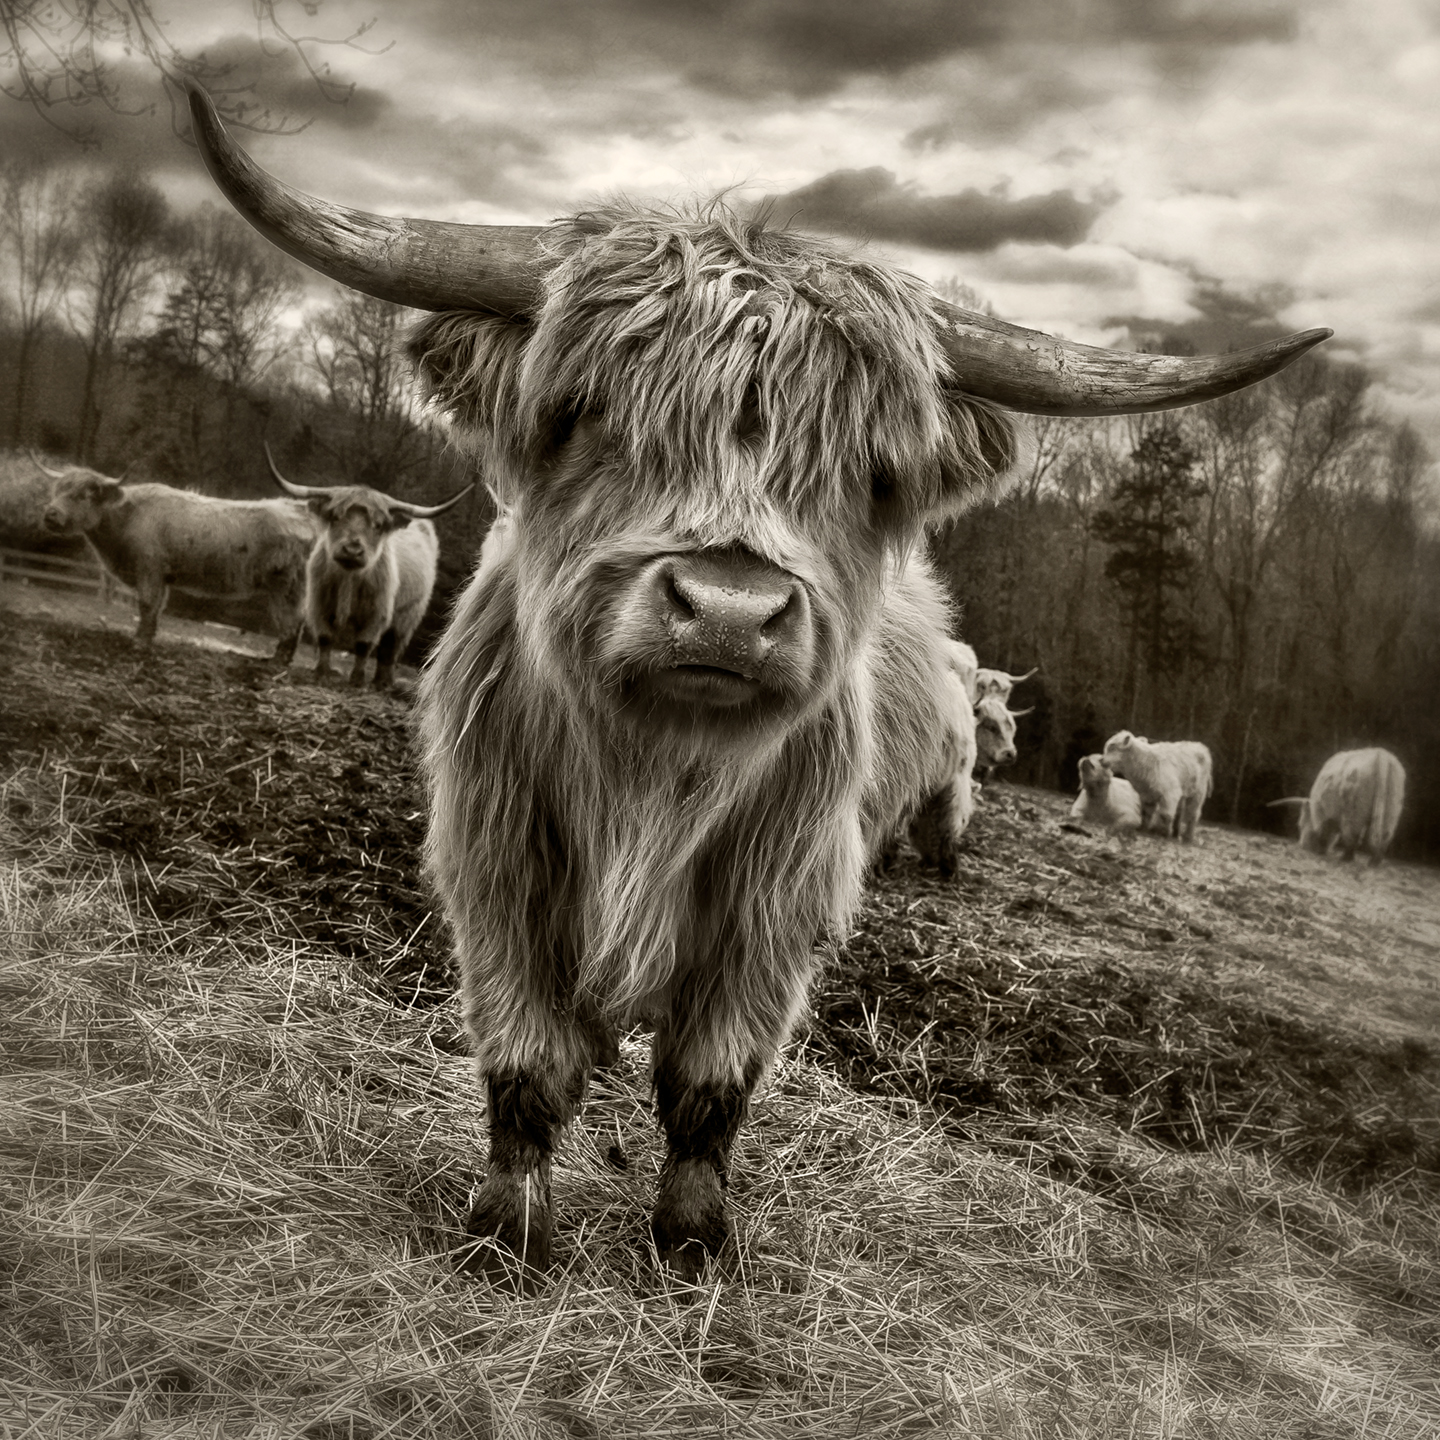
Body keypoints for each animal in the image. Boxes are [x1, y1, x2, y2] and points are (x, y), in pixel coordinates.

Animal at [33, 455, 315, 662]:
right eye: (57, 491)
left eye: (83, 495)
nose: (50, 514)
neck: (127, 517)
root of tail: (298, 508)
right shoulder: (162, 577)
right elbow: (156, 608)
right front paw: (147, 639)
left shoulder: (150, 569)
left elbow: (147, 605)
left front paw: (139, 643)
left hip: (289, 585)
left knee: (293, 620)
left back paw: (278, 662)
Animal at [265, 448, 473, 690]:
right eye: (335, 517)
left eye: (378, 525)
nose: (352, 550)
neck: (349, 578)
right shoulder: (319, 605)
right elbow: (325, 638)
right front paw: (321, 672)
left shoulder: (378, 612)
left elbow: (364, 645)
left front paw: (357, 679)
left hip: (408, 614)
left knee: (390, 648)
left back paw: (383, 682)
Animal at [1268, 748, 1406, 865]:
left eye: (1300, 825)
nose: (1302, 845)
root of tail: (1381, 756)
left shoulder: (1322, 814)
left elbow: (1324, 830)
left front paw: (1321, 849)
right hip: (1392, 805)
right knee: (1385, 835)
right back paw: (1374, 862)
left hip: (1354, 810)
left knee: (1352, 835)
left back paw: (1346, 858)